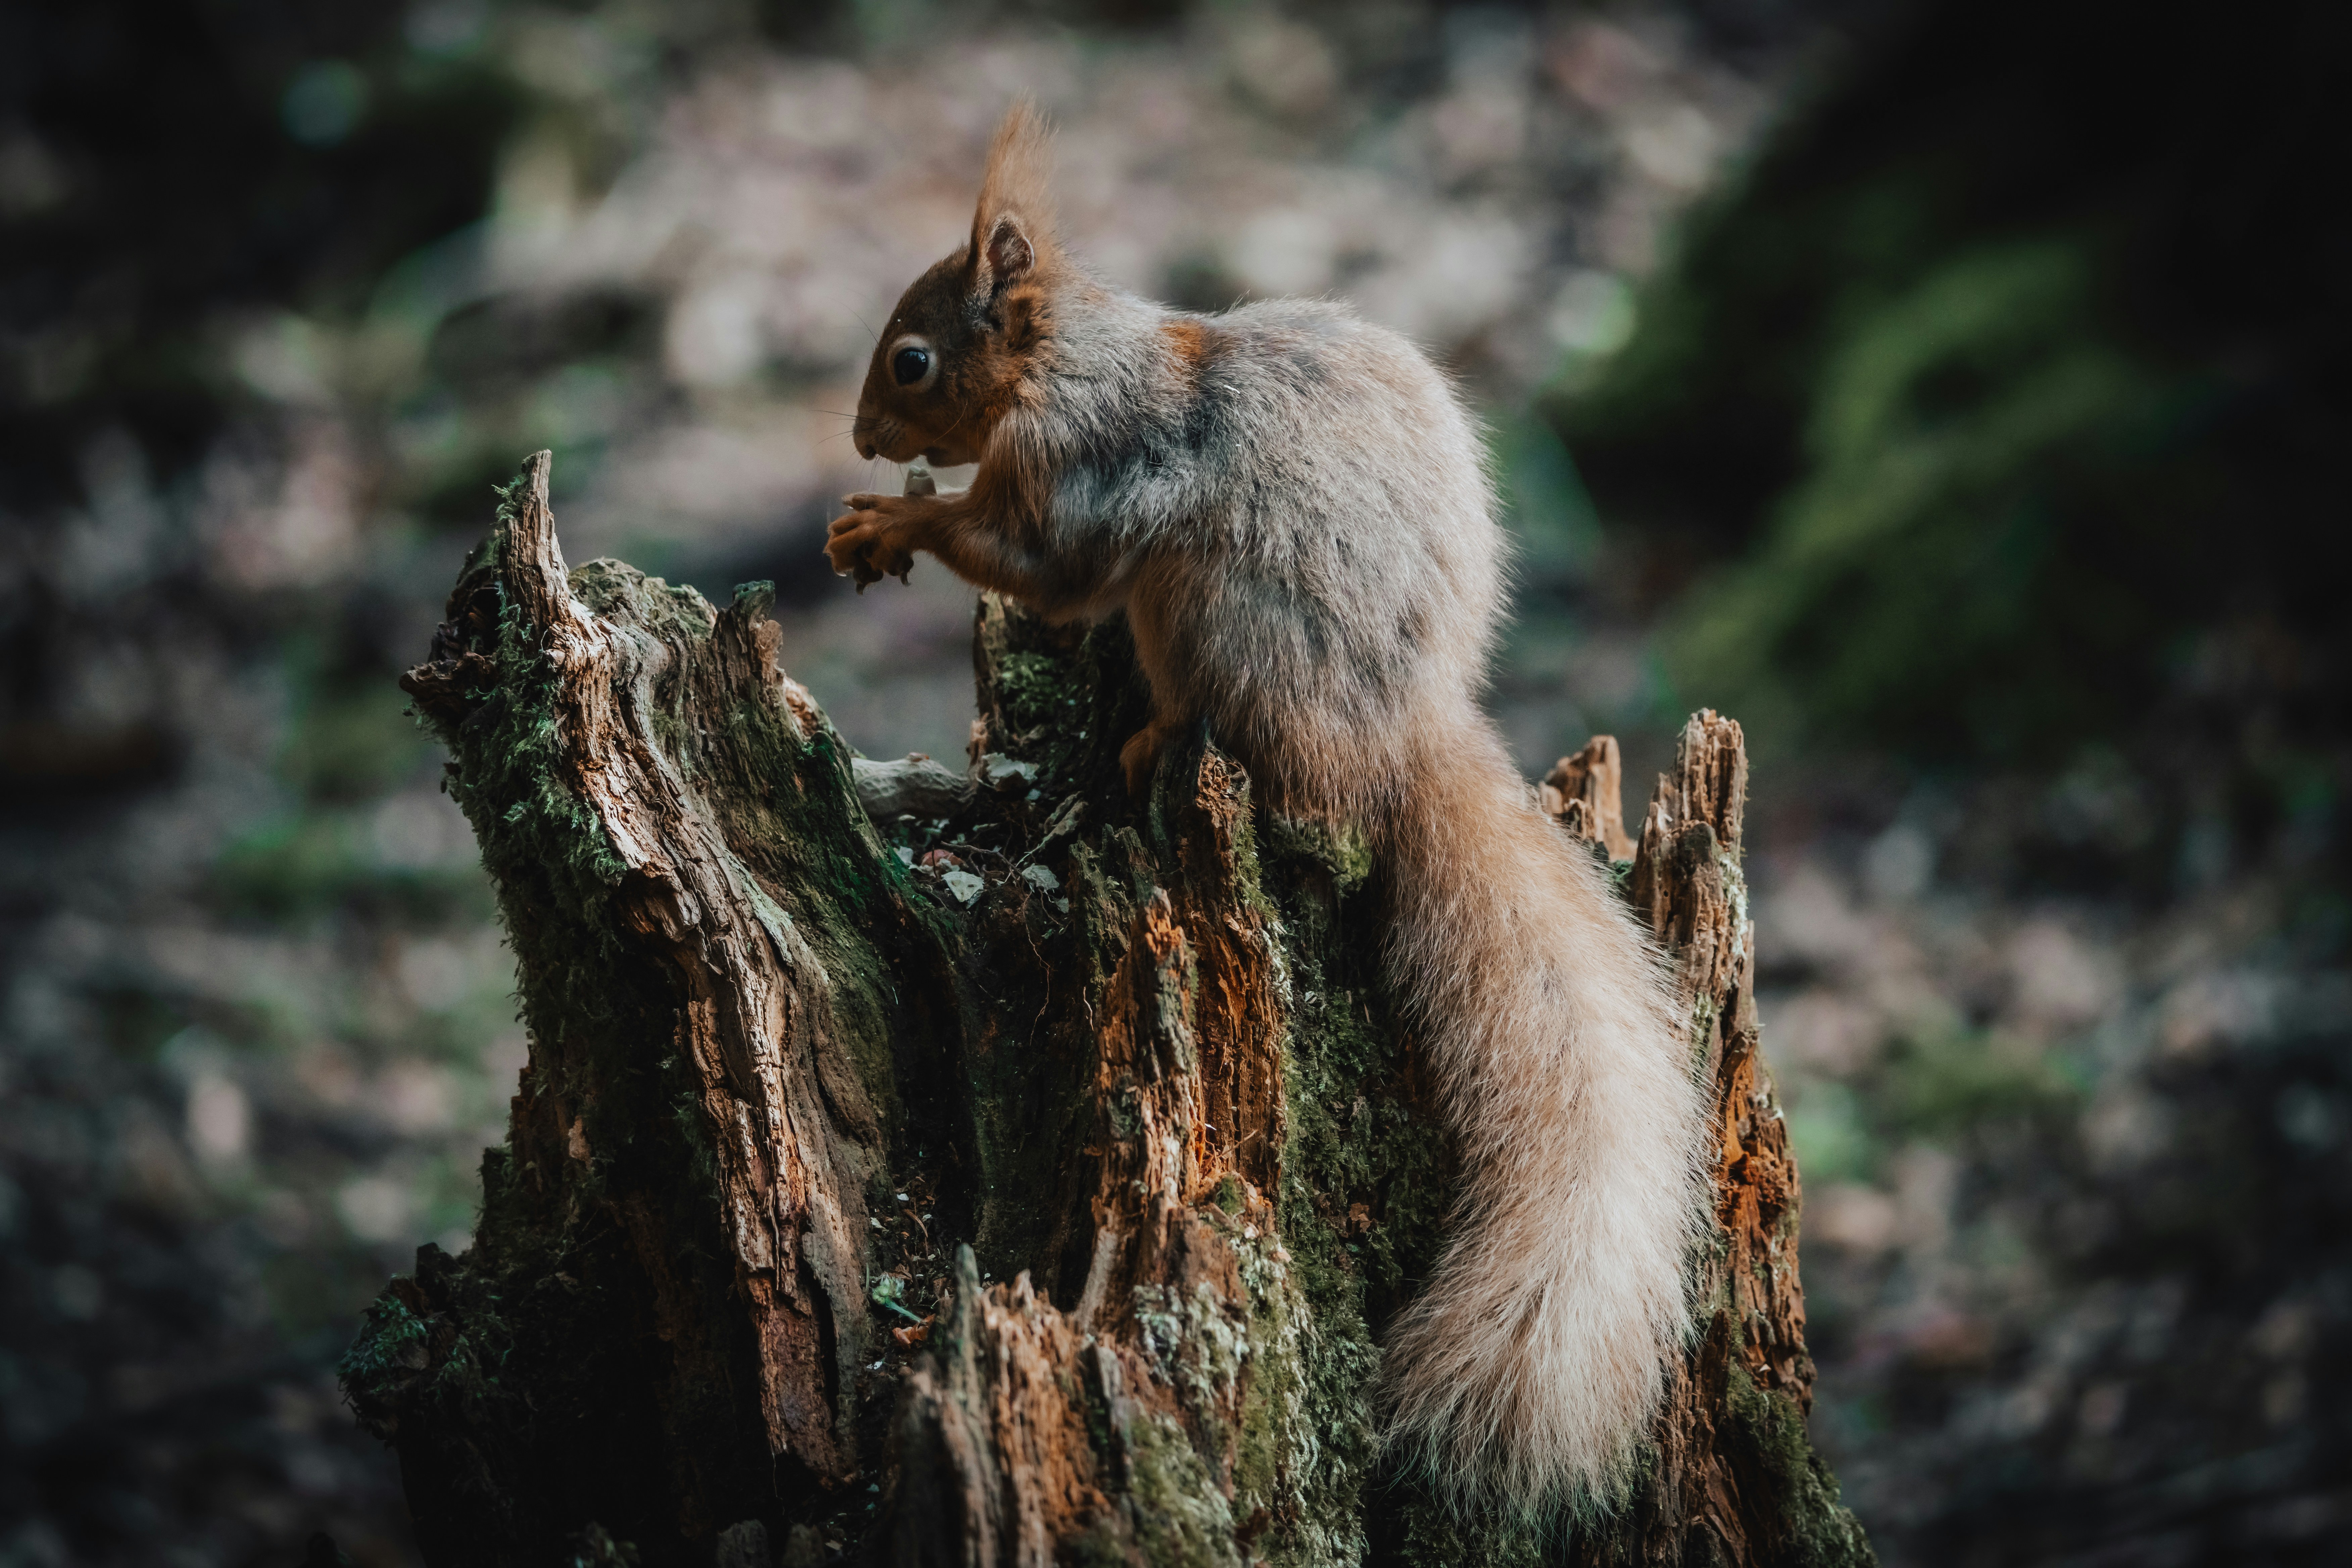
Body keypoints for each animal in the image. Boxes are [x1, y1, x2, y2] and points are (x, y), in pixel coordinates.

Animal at [826, 103, 1705, 1517]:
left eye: (912, 358)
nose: (859, 437)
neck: (1067, 356)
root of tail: (1402, 731)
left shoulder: (1083, 466)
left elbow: (1037, 565)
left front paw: (890, 521)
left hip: (1207, 608)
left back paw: (1152, 735)